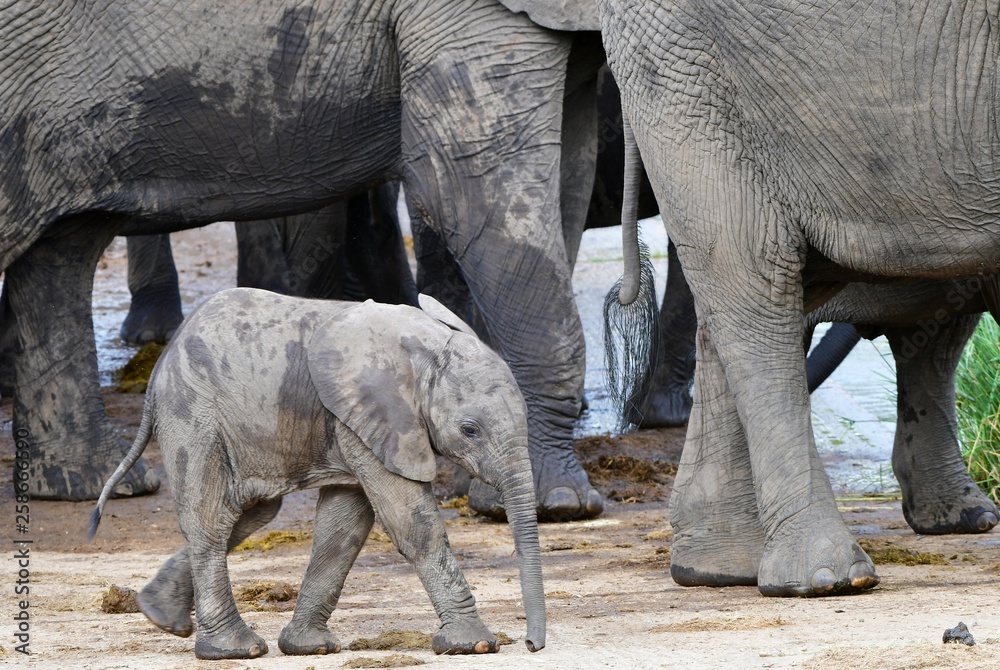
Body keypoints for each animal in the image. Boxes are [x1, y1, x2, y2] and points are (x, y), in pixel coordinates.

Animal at [89, 289, 545, 659]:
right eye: (470, 430)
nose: (531, 644)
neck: (424, 349)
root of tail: (158, 370)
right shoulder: (372, 419)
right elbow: (410, 521)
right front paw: (476, 645)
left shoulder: (358, 423)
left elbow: (344, 529)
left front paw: (310, 648)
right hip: (194, 415)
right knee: (212, 518)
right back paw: (234, 649)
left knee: (246, 515)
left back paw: (160, 614)